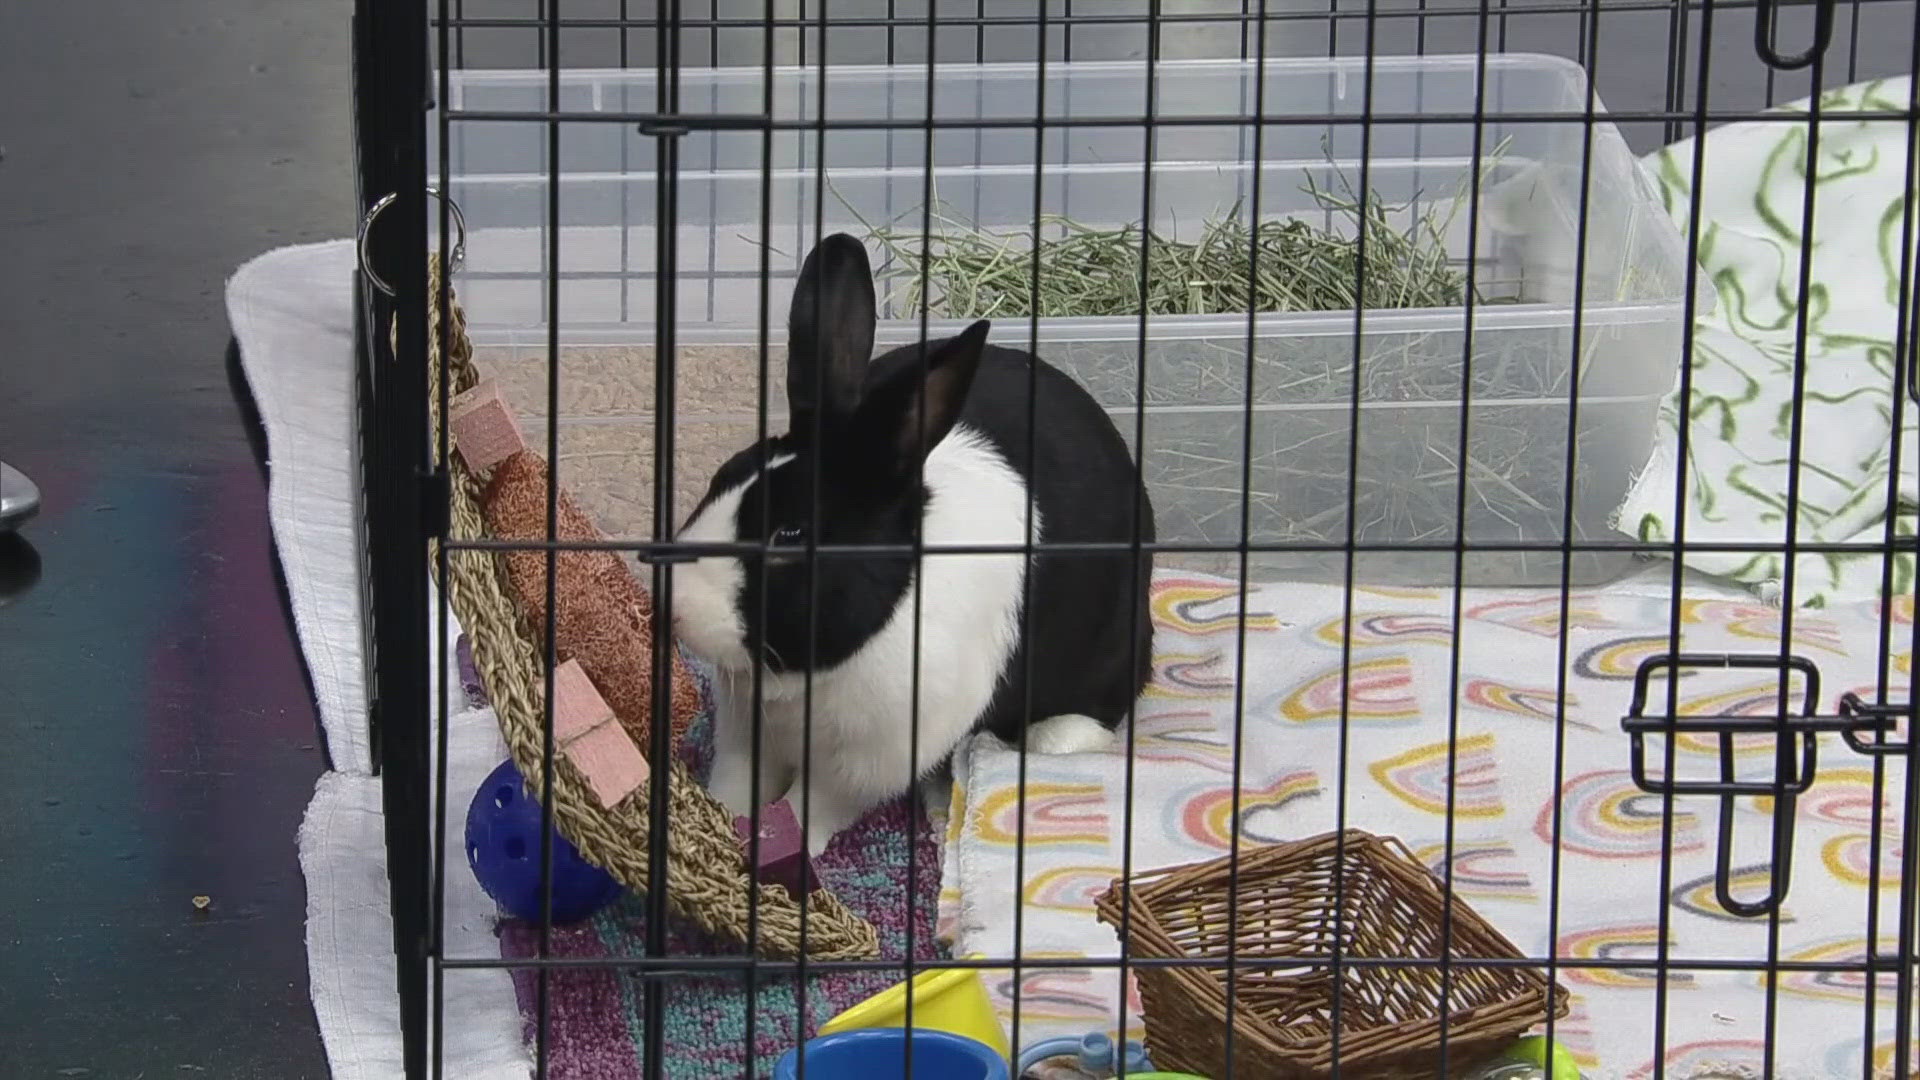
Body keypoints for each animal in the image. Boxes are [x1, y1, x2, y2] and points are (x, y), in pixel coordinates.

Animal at [671, 232, 1155, 857]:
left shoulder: (867, 761)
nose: (674, 606)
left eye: (790, 535)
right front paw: (715, 823)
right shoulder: (746, 729)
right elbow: (736, 785)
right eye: (720, 479)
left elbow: (810, 807)